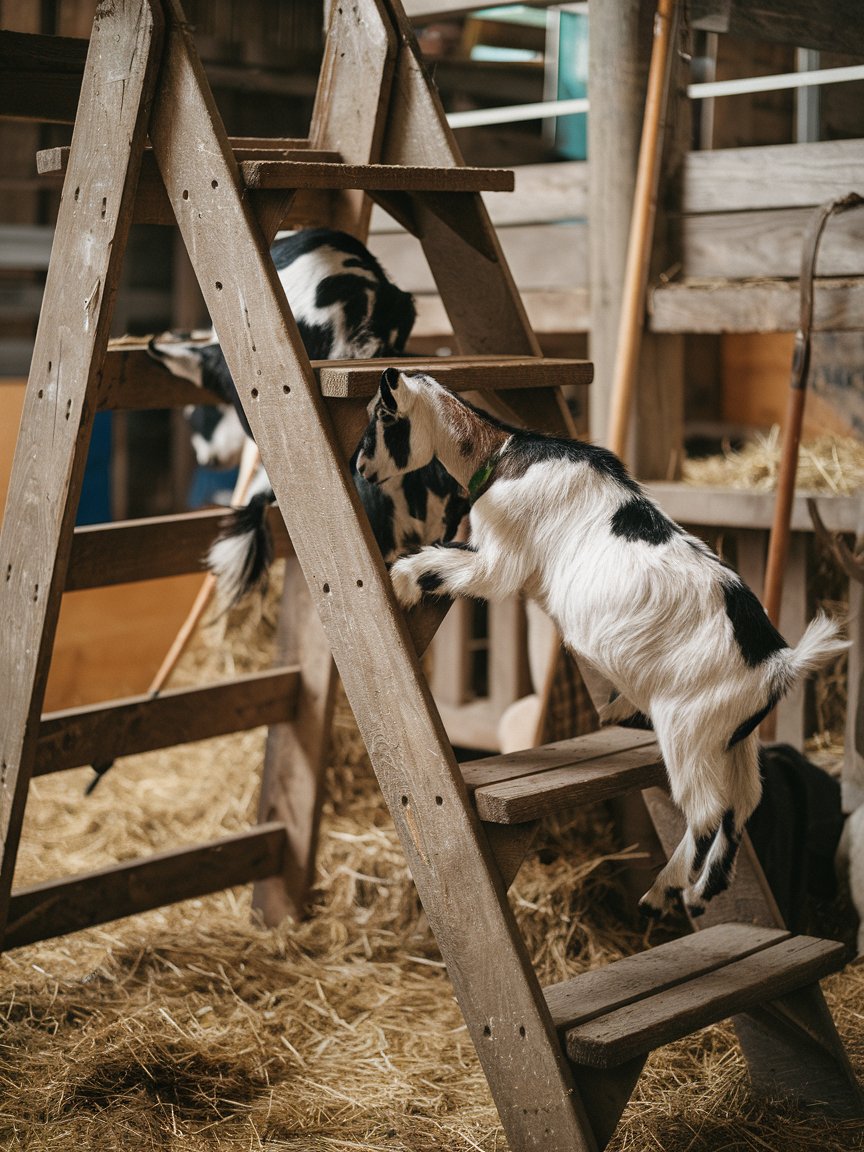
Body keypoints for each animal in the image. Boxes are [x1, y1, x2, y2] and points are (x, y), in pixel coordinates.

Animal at [355, 368, 848, 917]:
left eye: (381, 417)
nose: (360, 468)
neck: (501, 453)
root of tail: (779, 663)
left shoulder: (497, 561)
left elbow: (448, 566)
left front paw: (397, 582)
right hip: (733, 740)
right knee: (741, 808)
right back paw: (700, 893)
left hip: (690, 732)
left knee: (706, 814)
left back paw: (662, 893)